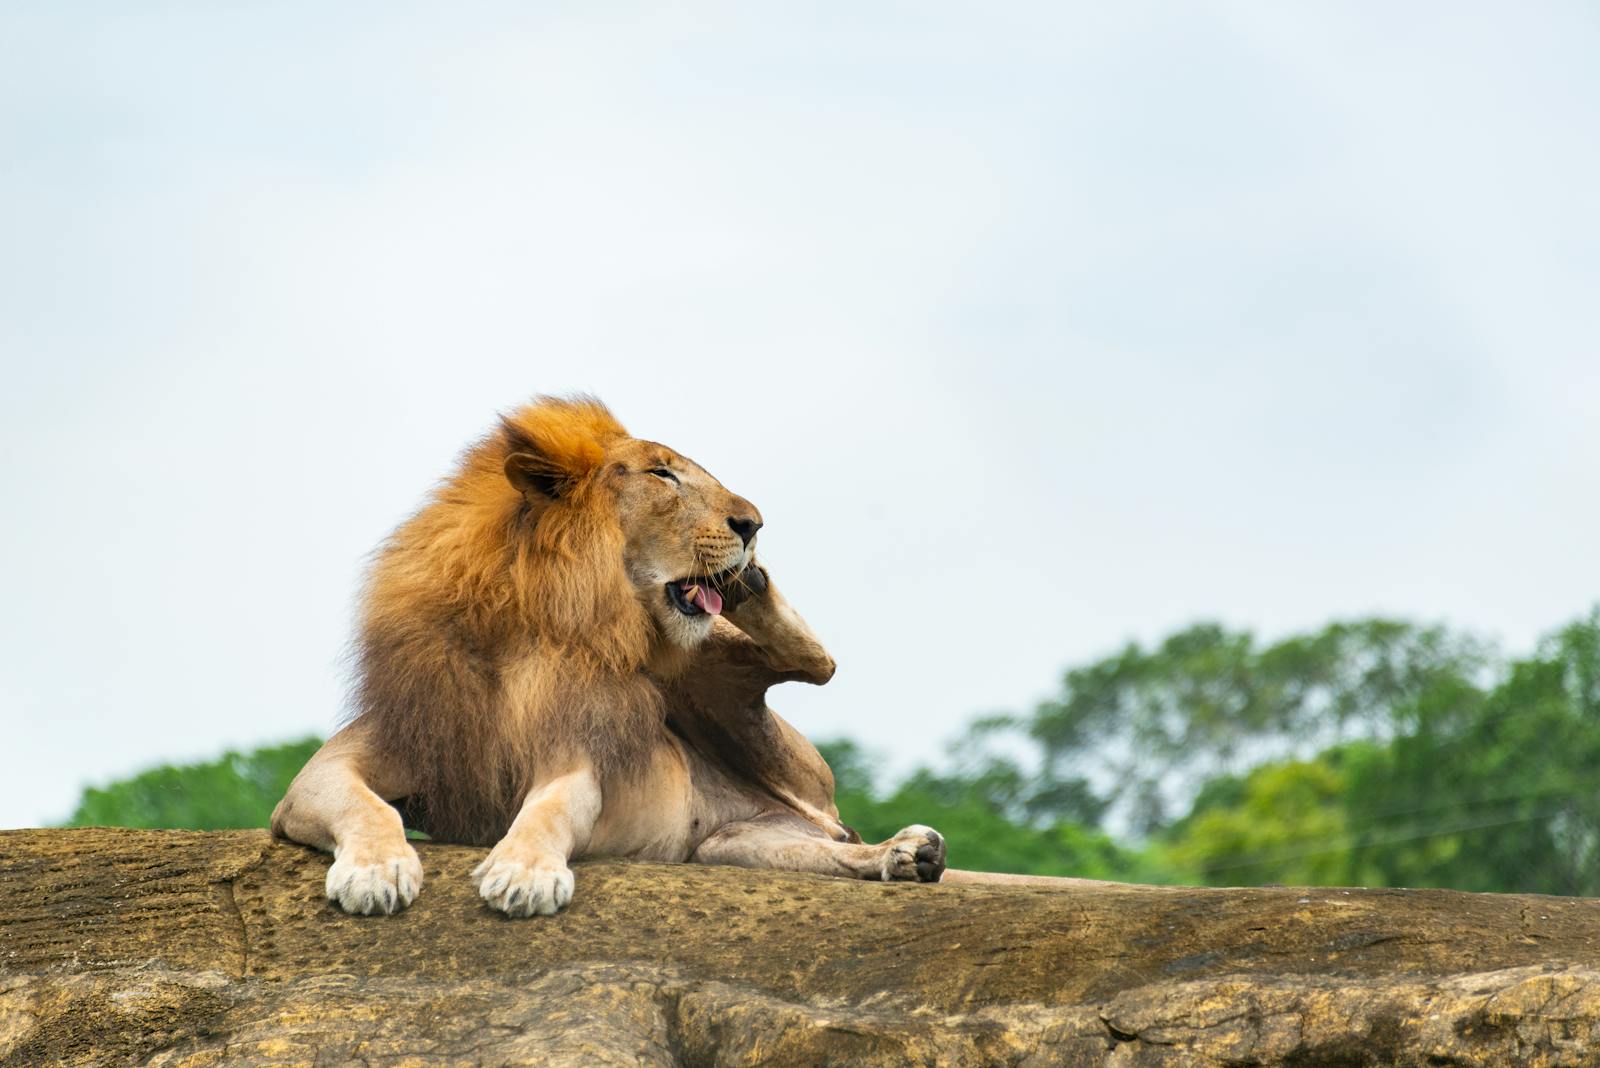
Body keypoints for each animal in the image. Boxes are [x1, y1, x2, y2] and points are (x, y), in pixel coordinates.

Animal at [271, 395, 946, 916]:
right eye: (663, 475)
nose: (752, 523)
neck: (531, 621)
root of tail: (817, 814)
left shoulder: (577, 751)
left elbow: (550, 810)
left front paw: (525, 872)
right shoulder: (333, 769)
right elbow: (366, 806)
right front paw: (376, 871)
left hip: (725, 686)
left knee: (817, 664)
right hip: (732, 846)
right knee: (826, 846)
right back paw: (904, 856)